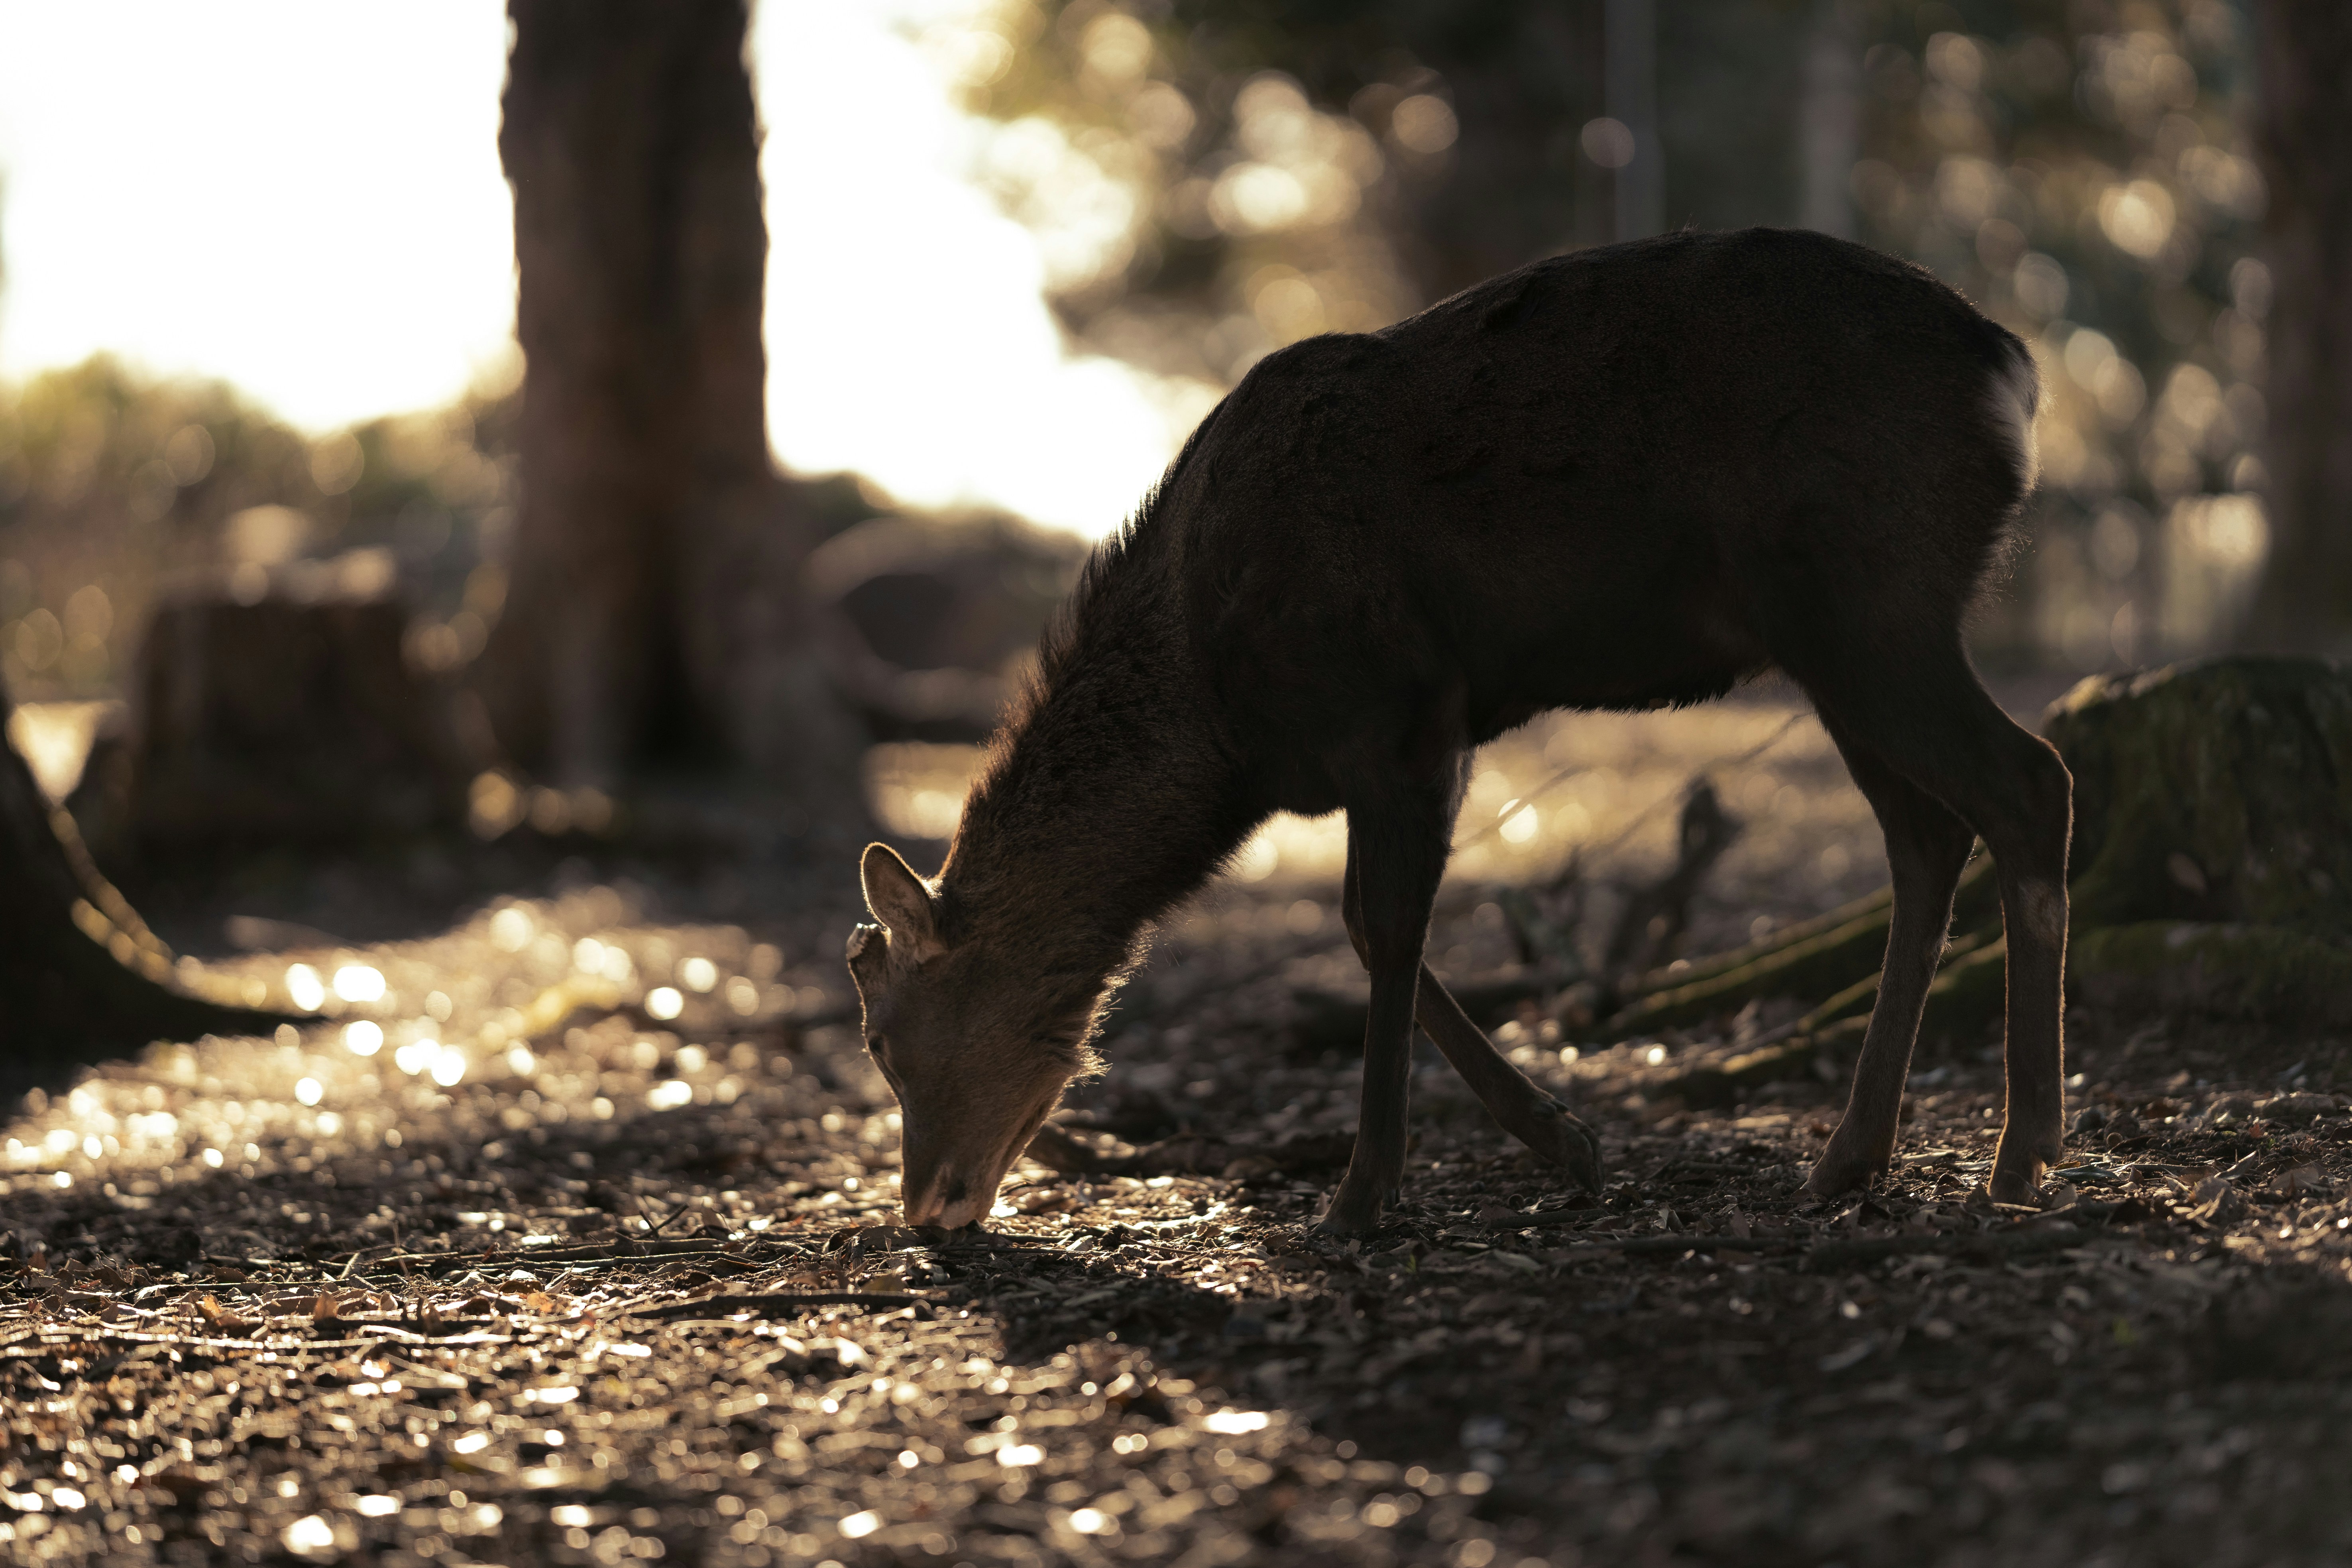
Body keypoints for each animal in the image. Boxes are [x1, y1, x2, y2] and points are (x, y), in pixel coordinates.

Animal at [848, 226, 2069, 1237]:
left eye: (885, 1039)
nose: (928, 1210)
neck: (1224, 729)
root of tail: (2010, 366)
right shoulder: (1426, 739)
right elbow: (1378, 930)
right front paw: (1569, 1144)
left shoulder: (1395, 712)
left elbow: (1385, 929)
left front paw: (1360, 1197)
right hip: (1831, 639)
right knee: (1924, 834)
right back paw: (1851, 1158)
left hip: (1871, 595)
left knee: (2030, 780)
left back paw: (2021, 1155)